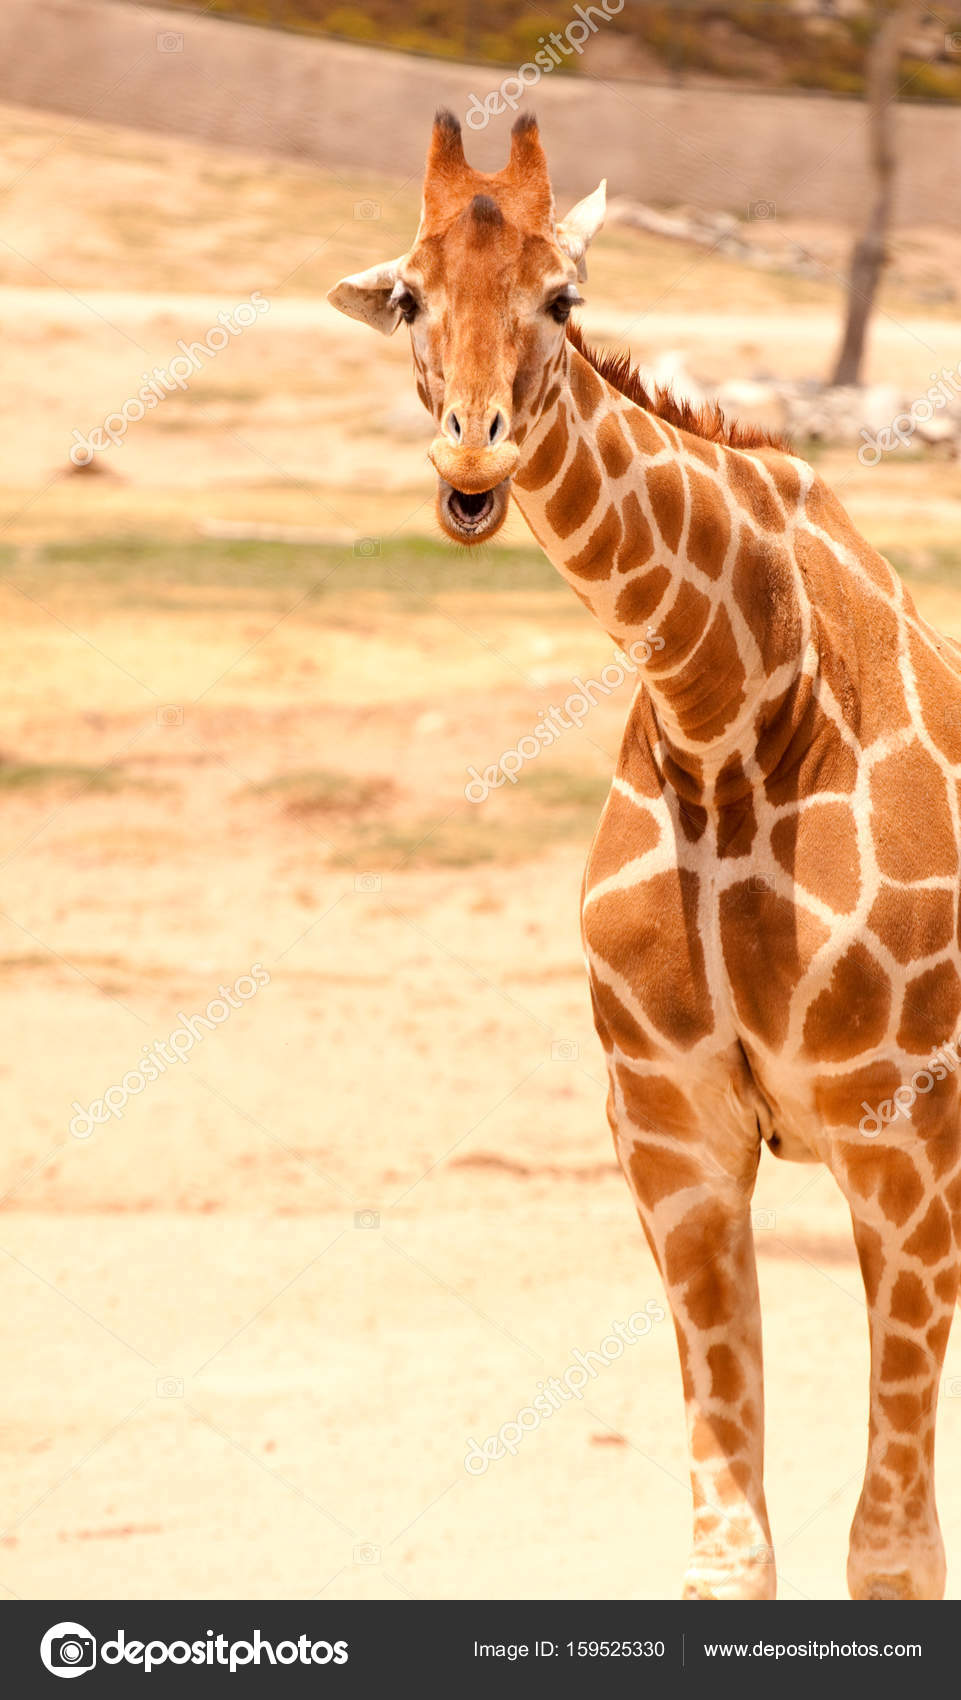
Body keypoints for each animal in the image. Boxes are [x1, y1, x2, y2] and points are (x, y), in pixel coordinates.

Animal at [329, 110, 961, 1601]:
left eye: (564, 299)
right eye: (408, 297)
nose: (473, 463)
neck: (733, 703)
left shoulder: (904, 1151)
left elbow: (892, 1547)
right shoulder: (676, 1145)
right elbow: (730, 1546)